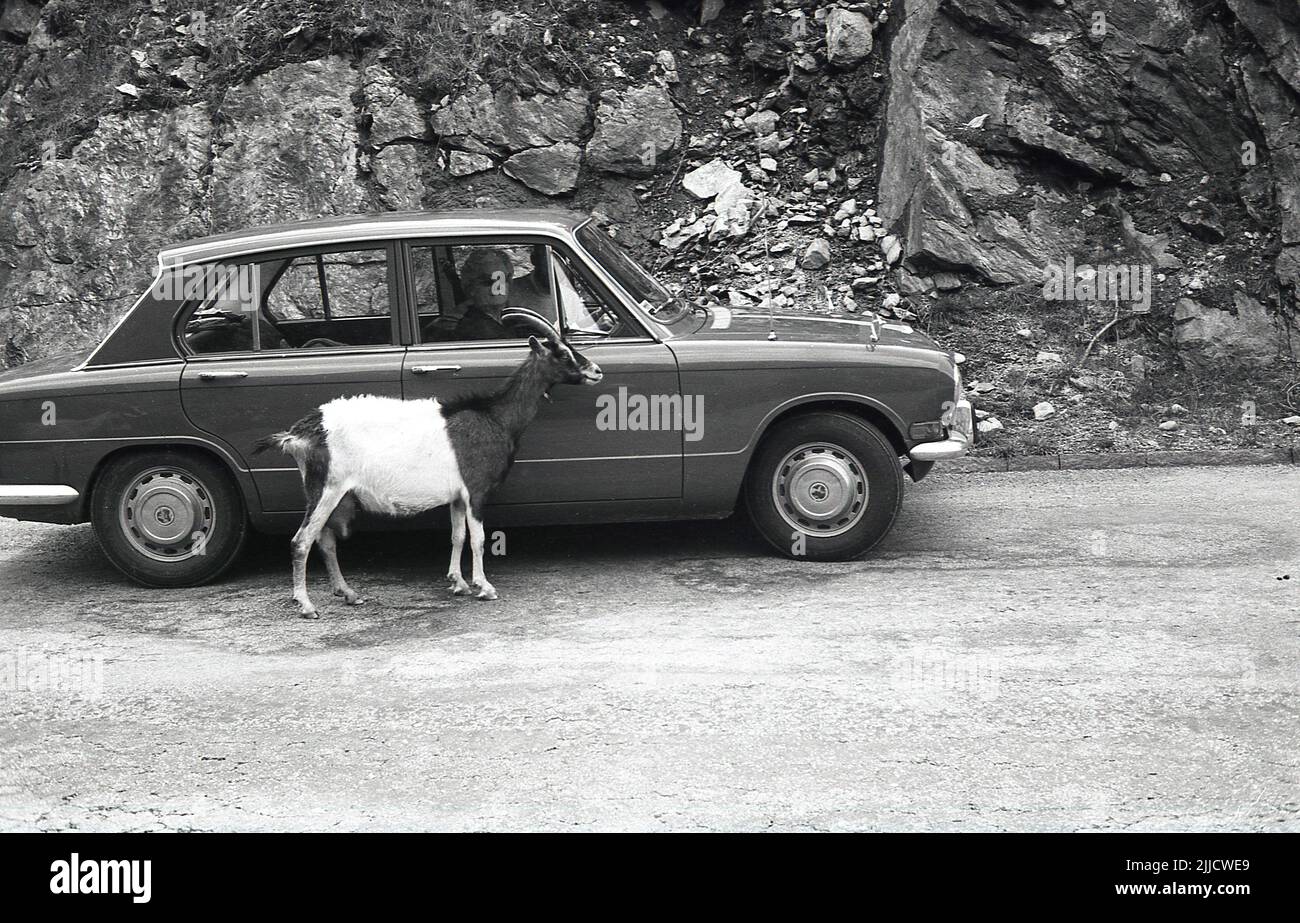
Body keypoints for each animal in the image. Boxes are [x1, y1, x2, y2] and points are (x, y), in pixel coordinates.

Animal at [253, 331, 602, 617]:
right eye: (562, 353)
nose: (596, 371)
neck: (494, 417)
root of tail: (300, 433)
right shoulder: (476, 491)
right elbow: (478, 539)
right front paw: (484, 587)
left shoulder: (457, 496)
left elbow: (457, 535)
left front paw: (458, 582)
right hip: (325, 487)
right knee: (301, 541)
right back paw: (306, 605)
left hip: (336, 494)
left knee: (325, 540)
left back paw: (349, 593)